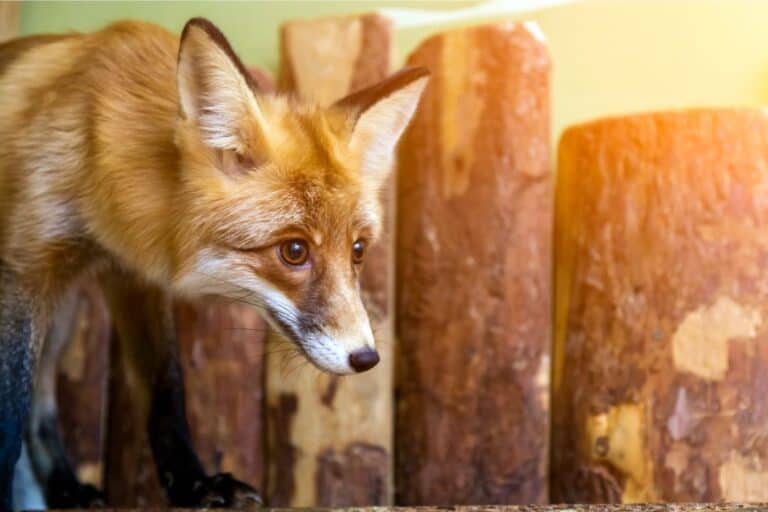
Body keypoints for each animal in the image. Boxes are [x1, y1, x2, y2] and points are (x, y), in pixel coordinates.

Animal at [0, 16, 428, 510]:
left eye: (357, 250)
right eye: (294, 251)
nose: (366, 358)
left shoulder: (131, 277)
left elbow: (166, 390)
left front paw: (195, 485)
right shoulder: (25, 267)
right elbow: (9, 407)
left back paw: (65, 490)